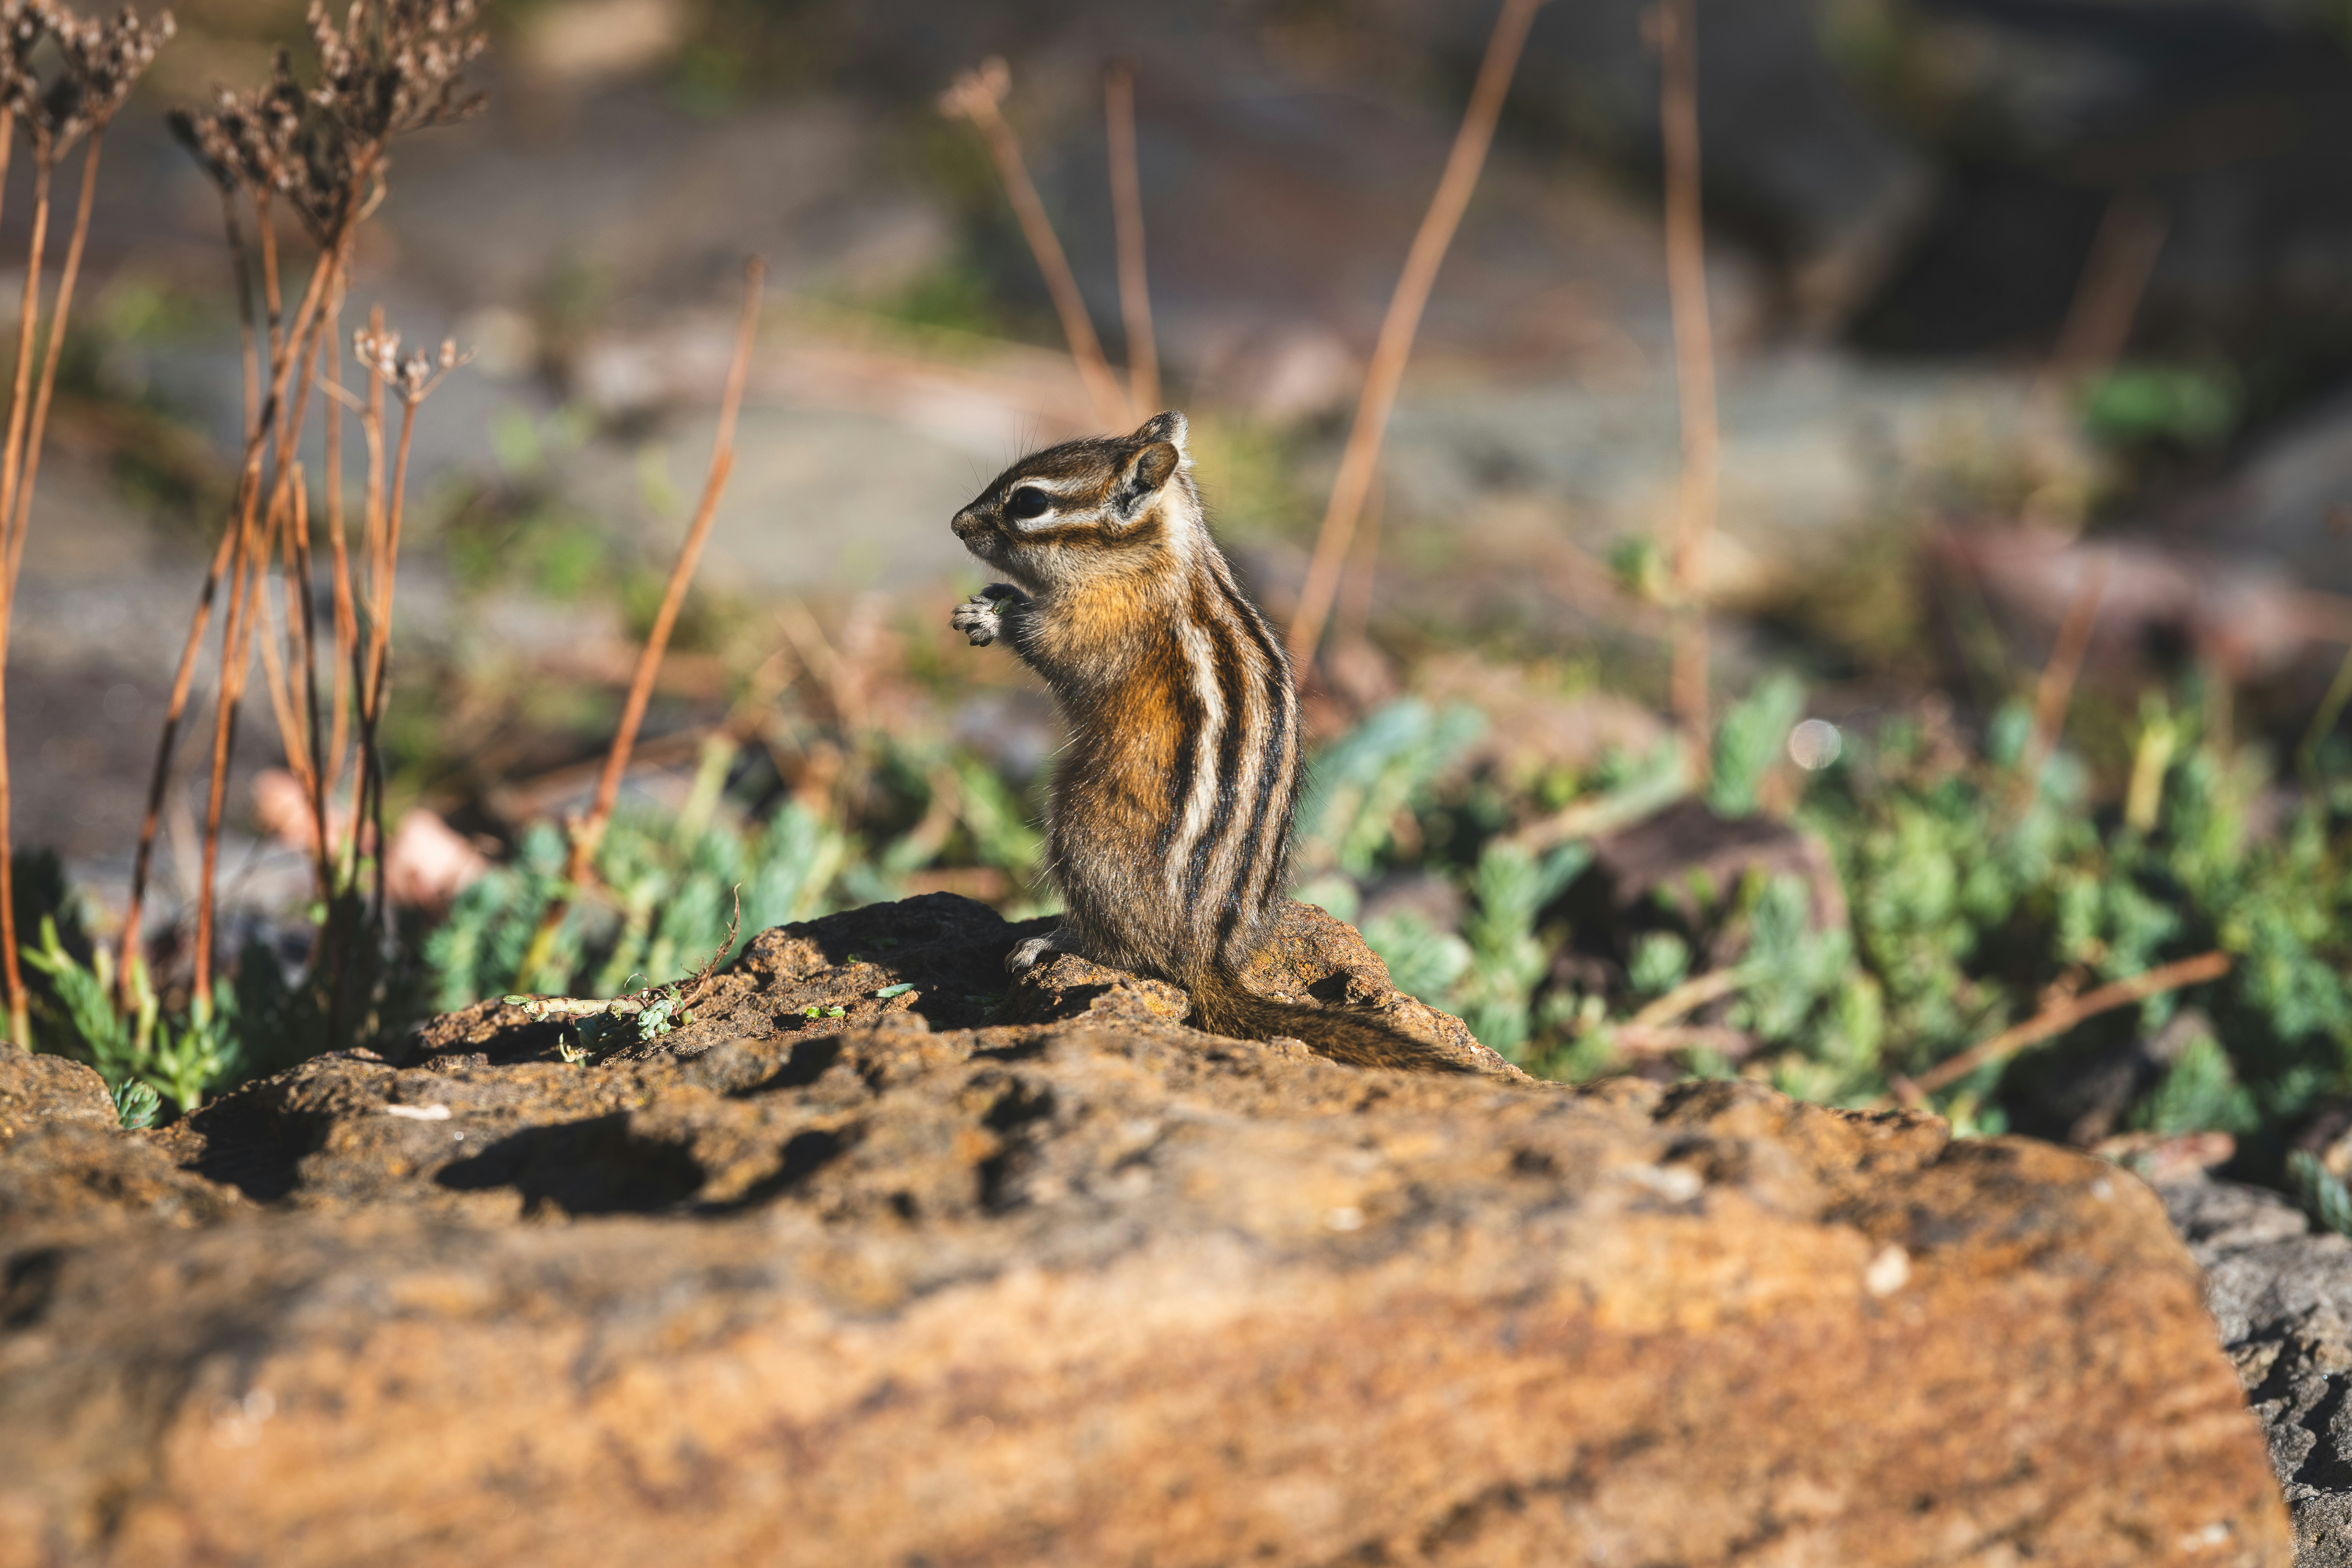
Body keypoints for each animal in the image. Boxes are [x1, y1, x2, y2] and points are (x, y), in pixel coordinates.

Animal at [949, 410, 1459, 1070]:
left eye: (1029, 502)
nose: (957, 524)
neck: (1153, 559)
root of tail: (1203, 955)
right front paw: (993, 597)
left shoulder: (1094, 626)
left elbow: (1045, 642)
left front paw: (991, 616)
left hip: (1076, 827)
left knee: (1120, 950)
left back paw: (1049, 940)